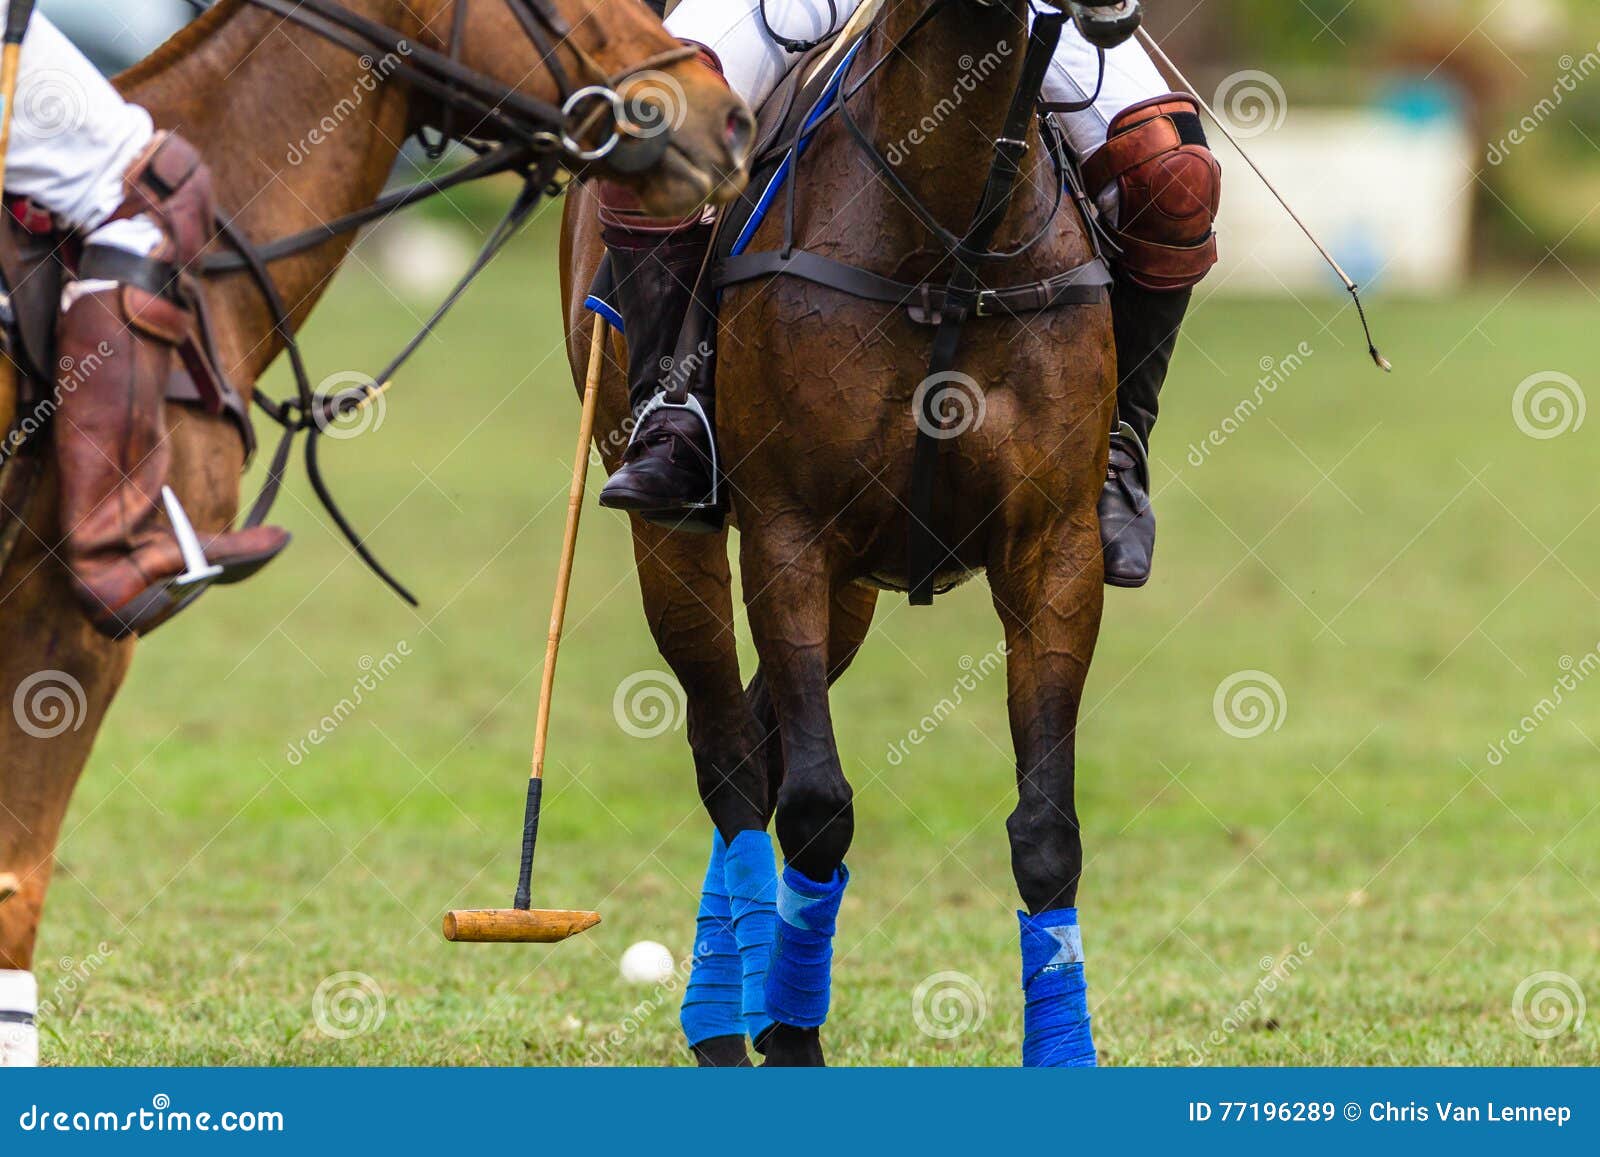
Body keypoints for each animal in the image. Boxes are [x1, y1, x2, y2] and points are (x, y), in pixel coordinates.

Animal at [562, 0, 1116, 1064]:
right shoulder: (790, 532)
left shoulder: (1056, 546)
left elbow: (1048, 829)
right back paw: (721, 1021)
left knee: (758, 735)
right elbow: (817, 808)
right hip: (676, 533)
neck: (952, 236)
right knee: (731, 756)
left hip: (855, 586)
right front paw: (790, 1037)